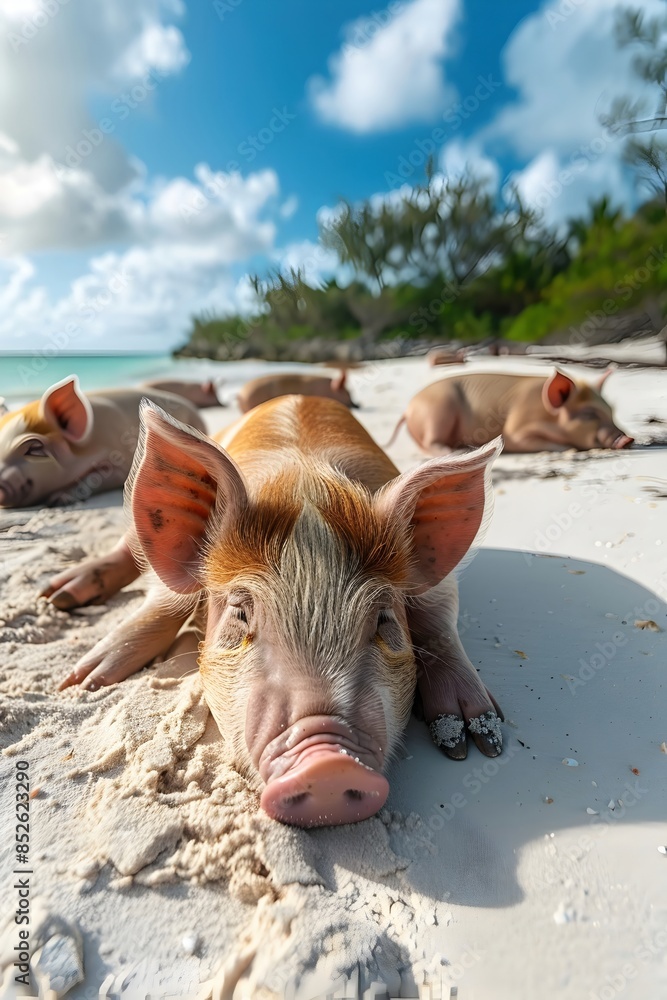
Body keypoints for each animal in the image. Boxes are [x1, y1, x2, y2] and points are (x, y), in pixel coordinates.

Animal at [46, 395, 503, 828]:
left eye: (384, 619)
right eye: (239, 614)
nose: (328, 764)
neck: (304, 478)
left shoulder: (438, 585)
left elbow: (437, 619)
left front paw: (479, 738)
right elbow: (164, 600)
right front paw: (81, 683)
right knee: (131, 546)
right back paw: (59, 601)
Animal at [387, 369, 633, 454]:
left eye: (611, 410)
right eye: (589, 414)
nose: (628, 439)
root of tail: (408, 409)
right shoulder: (515, 430)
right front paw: (569, 449)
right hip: (437, 412)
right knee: (430, 443)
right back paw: (457, 451)